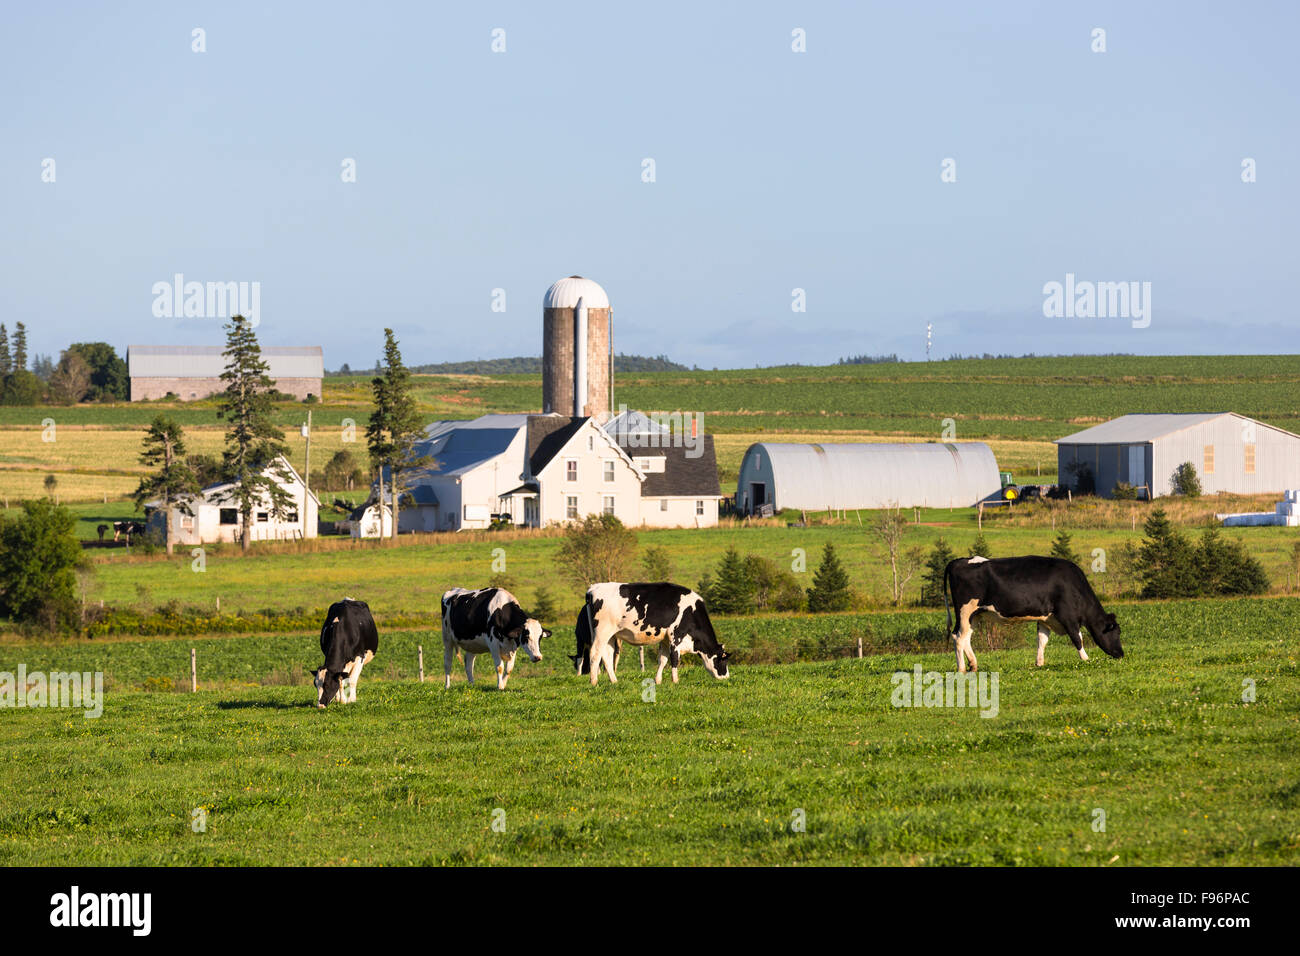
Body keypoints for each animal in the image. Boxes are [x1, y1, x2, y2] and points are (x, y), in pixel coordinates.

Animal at [583, 583, 730, 686]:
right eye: (723, 659)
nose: (726, 677)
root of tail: (593, 587)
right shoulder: (676, 637)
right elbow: (674, 659)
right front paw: (675, 681)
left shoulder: (665, 639)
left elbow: (662, 659)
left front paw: (658, 680)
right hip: (602, 632)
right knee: (595, 653)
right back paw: (594, 681)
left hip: (611, 635)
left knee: (606, 655)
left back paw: (614, 681)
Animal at [943, 556, 1124, 673]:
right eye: (1116, 632)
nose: (1121, 654)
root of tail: (958, 560)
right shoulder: (1068, 616)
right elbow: (1077, 638)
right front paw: (1086, 659)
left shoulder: (1046, 618)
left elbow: (1042, 640)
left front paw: (1040, 663)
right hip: (965, 612)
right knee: (958, 637)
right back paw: (962, 668)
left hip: (975, 615)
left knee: (966, 638)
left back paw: (973, 665)